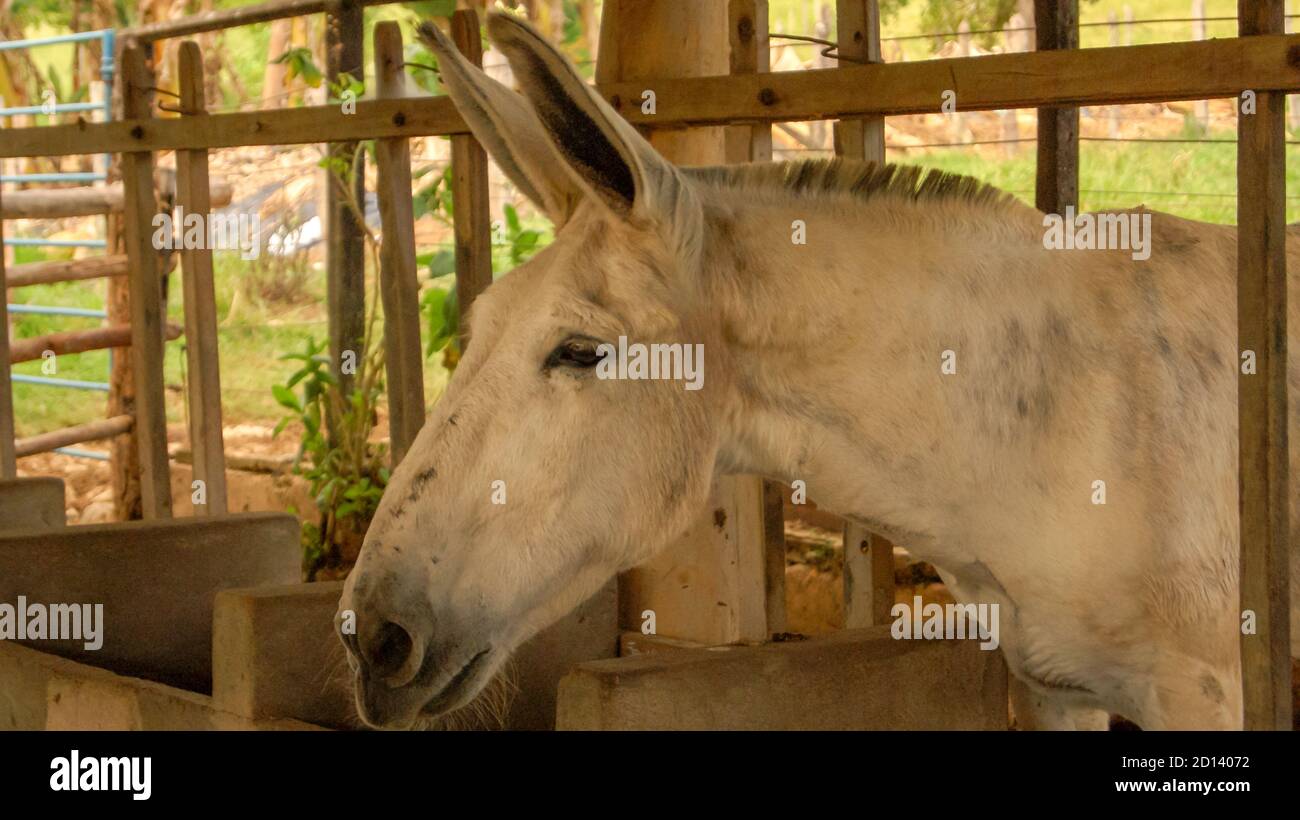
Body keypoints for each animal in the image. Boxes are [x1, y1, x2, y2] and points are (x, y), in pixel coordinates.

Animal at [337, 12, 1299, 730]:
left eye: (579, 351)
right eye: (478, 328)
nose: (373, 639)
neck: (1059, 425)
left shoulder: (1207, 694)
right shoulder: (1058, 691)